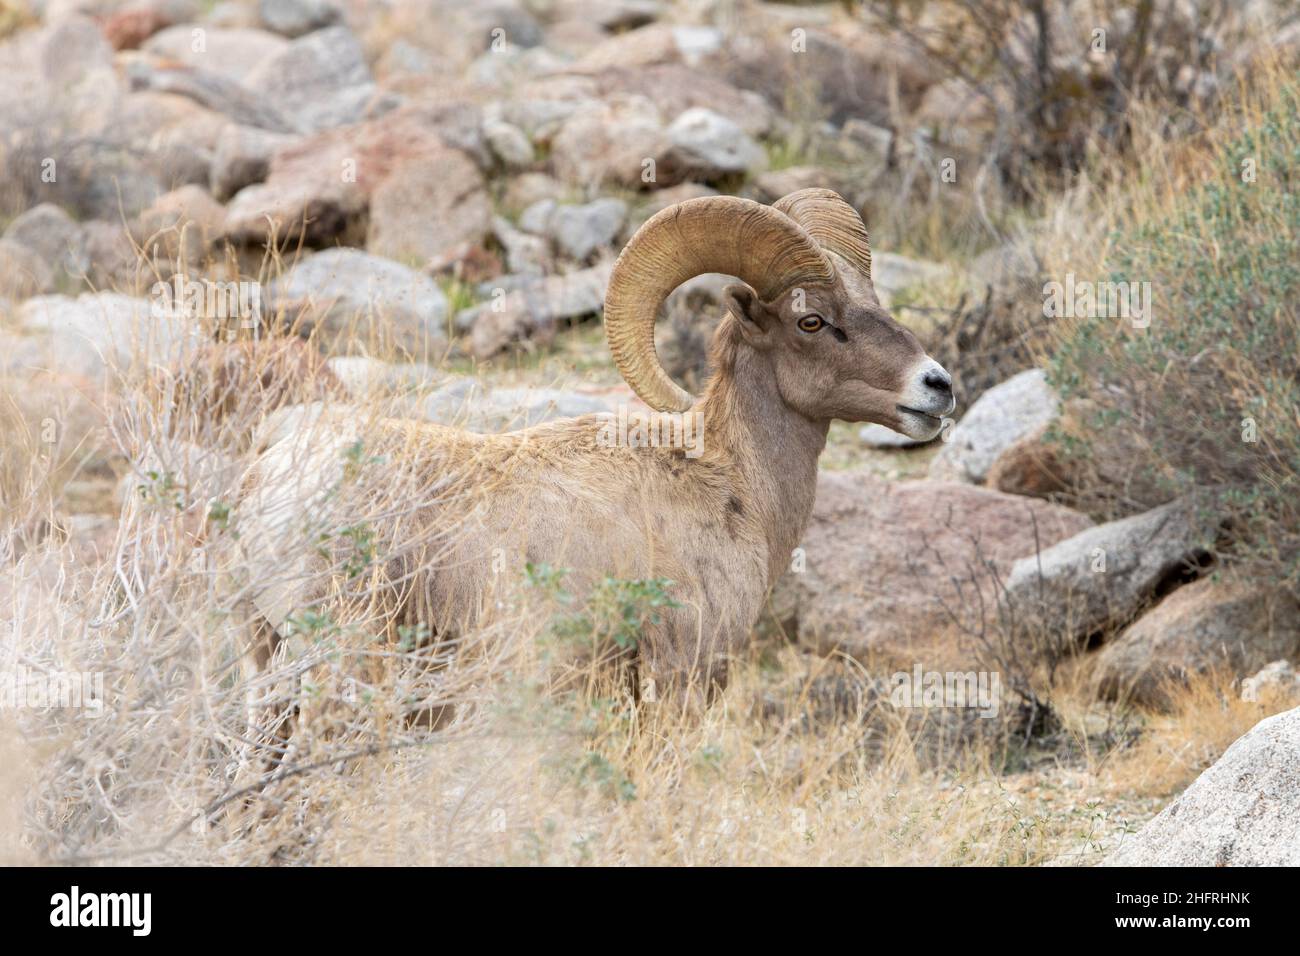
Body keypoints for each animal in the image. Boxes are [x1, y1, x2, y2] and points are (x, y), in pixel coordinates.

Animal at [233, 188, 956, 713]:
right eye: (812, 320)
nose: (937, 386)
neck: (730, 486)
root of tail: (272, 477)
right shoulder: (683, 672)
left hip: (264, 663)